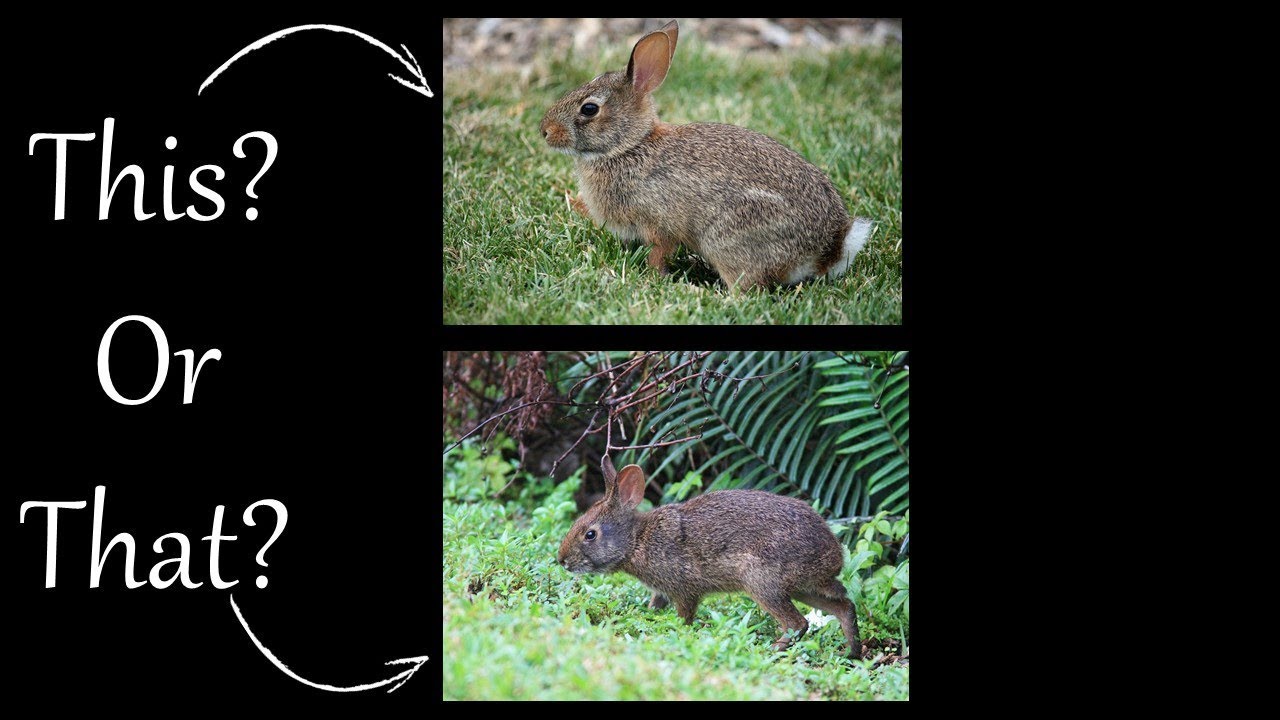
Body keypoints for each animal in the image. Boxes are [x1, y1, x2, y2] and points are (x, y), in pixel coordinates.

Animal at [540, 20, 874, 290]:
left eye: (589, 109)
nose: (544, 131)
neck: (629, 146)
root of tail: (827, 251)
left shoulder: (659, 223)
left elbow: (659, 253)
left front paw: (655, 277)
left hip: (728, 239)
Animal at [557, 457, 862, 657]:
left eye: (590, 534)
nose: (562, 560)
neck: (636, 541)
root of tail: (833, 556)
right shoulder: (662, 590)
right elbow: (655, 605)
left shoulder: (683, 589)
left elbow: (685, 615)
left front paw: (679, 632)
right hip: (801, 588)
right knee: (843, 607)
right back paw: (852, 653)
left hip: (762, 582)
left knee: (798, 623)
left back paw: (773, 649)